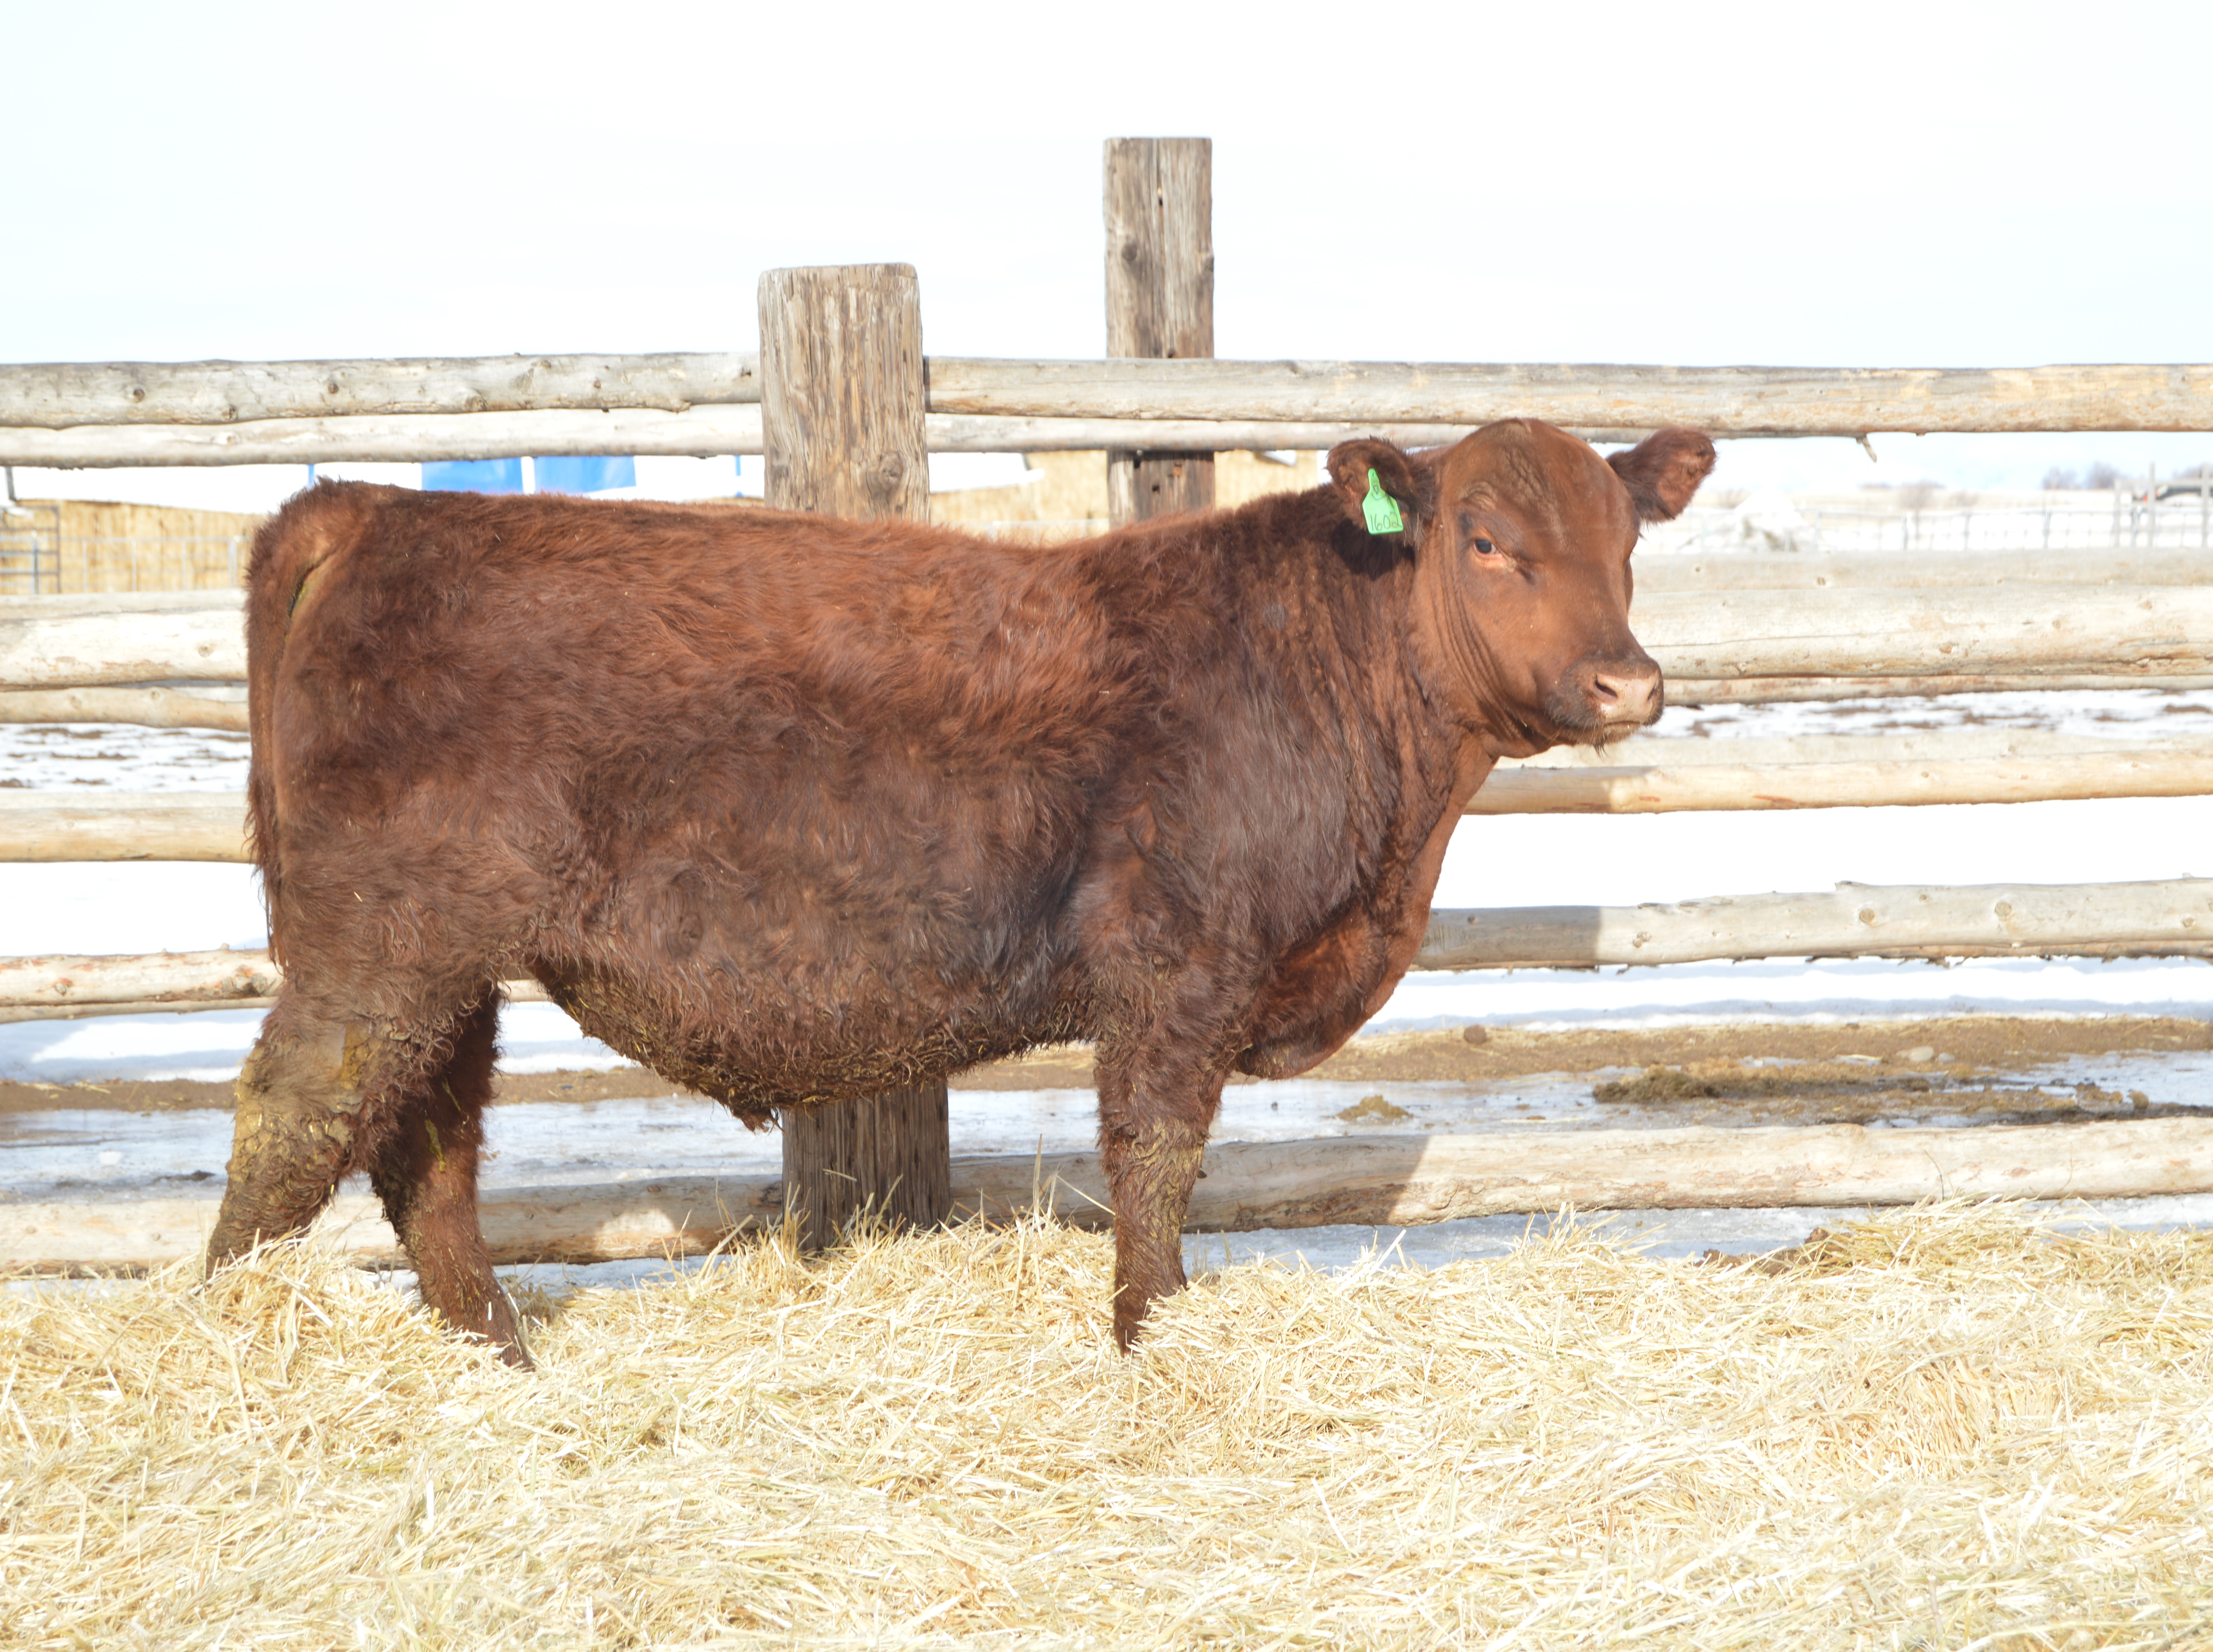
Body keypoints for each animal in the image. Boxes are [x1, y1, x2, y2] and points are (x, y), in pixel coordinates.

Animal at [206, 419, 1715, 1367]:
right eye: (1484, 539)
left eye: (1625, 542)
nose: (1624, 682)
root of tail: (378, 507)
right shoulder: (1174, 968)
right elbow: (1154, 1157)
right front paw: (1149, 1337)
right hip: (383, 948)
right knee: (295, 1118)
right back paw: (217, 1337)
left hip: (449, 963)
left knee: (429, 1150)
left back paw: (497, 1356)